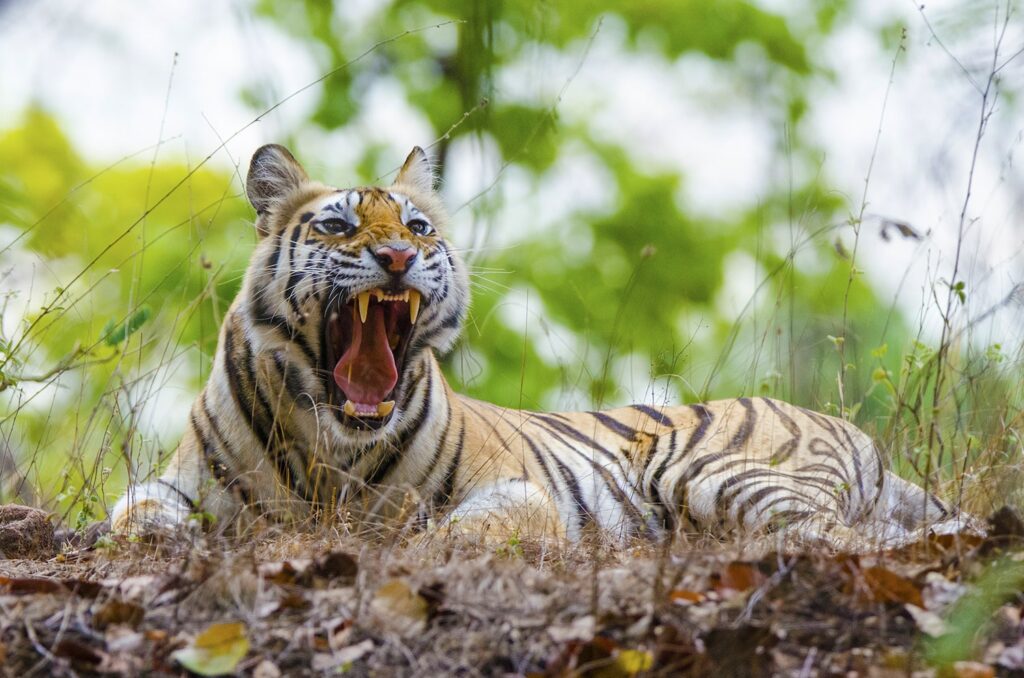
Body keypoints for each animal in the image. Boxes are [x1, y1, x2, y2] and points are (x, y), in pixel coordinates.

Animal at [110, 144, 970, 546]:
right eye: (338, 224)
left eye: (417, 225)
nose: (399, 257)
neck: (330, 443)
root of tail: (856, 432)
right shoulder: (178, 479)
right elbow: (136, 513)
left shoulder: (520, 491)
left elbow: (470, 528)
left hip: (724, 475)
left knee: (841, 539)